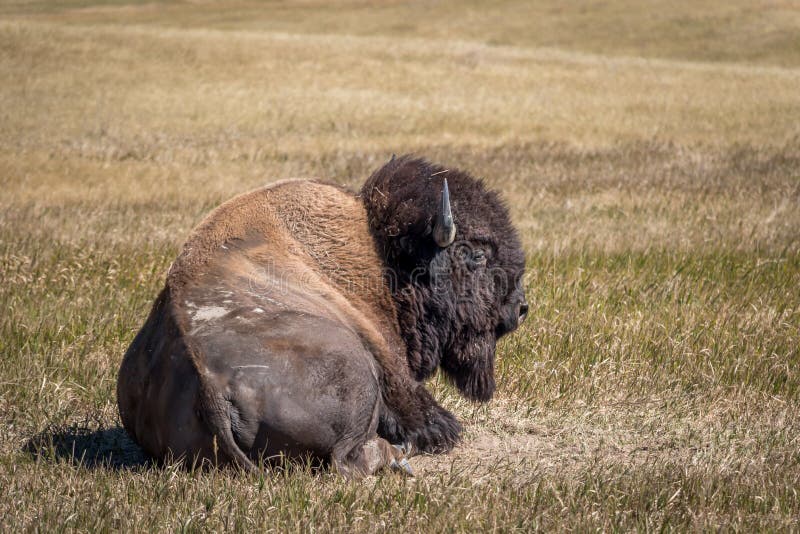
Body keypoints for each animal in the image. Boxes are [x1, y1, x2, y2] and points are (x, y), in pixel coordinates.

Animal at [117, 156, 528, 477]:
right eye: (476, 254)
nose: (520, 308)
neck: (385, 255)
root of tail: (210, 389)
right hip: (358, 374)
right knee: (347, 460)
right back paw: (397, 455)